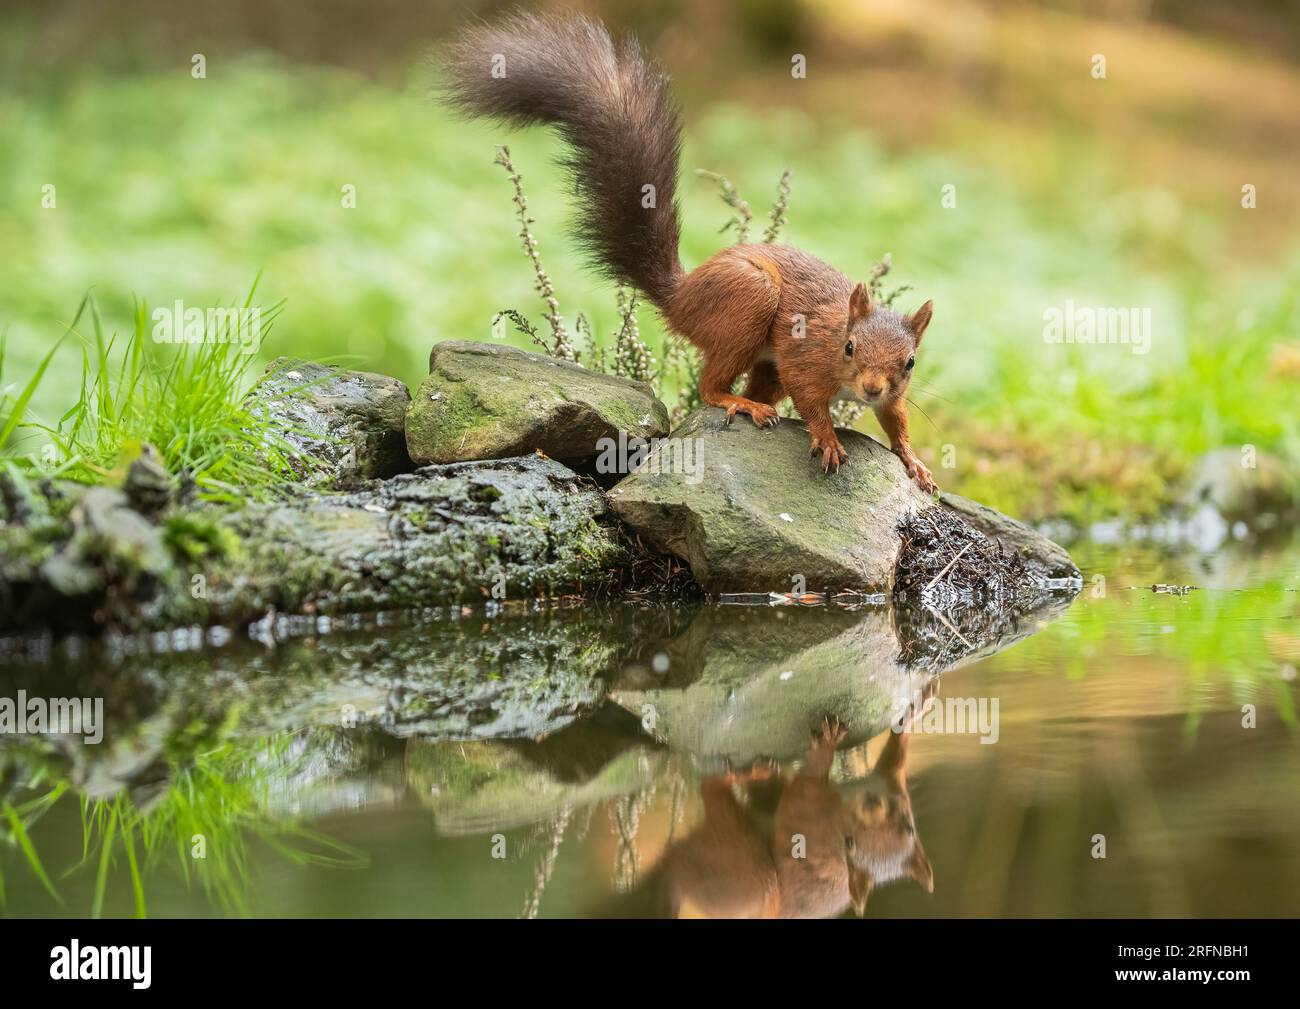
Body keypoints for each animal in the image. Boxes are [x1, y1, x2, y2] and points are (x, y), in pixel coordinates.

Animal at [443, 13, 936, 489]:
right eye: (849, 348)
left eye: (910, 362)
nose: (871, 387)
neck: (836, 337)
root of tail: (681, 298)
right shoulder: (805, 357)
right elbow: (810, 400)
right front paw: (828, 437)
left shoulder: (892, 395)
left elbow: (897, 419)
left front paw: (913, 460)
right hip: (748, 301)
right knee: (708, 388)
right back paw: (742, 404)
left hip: (762, 353)